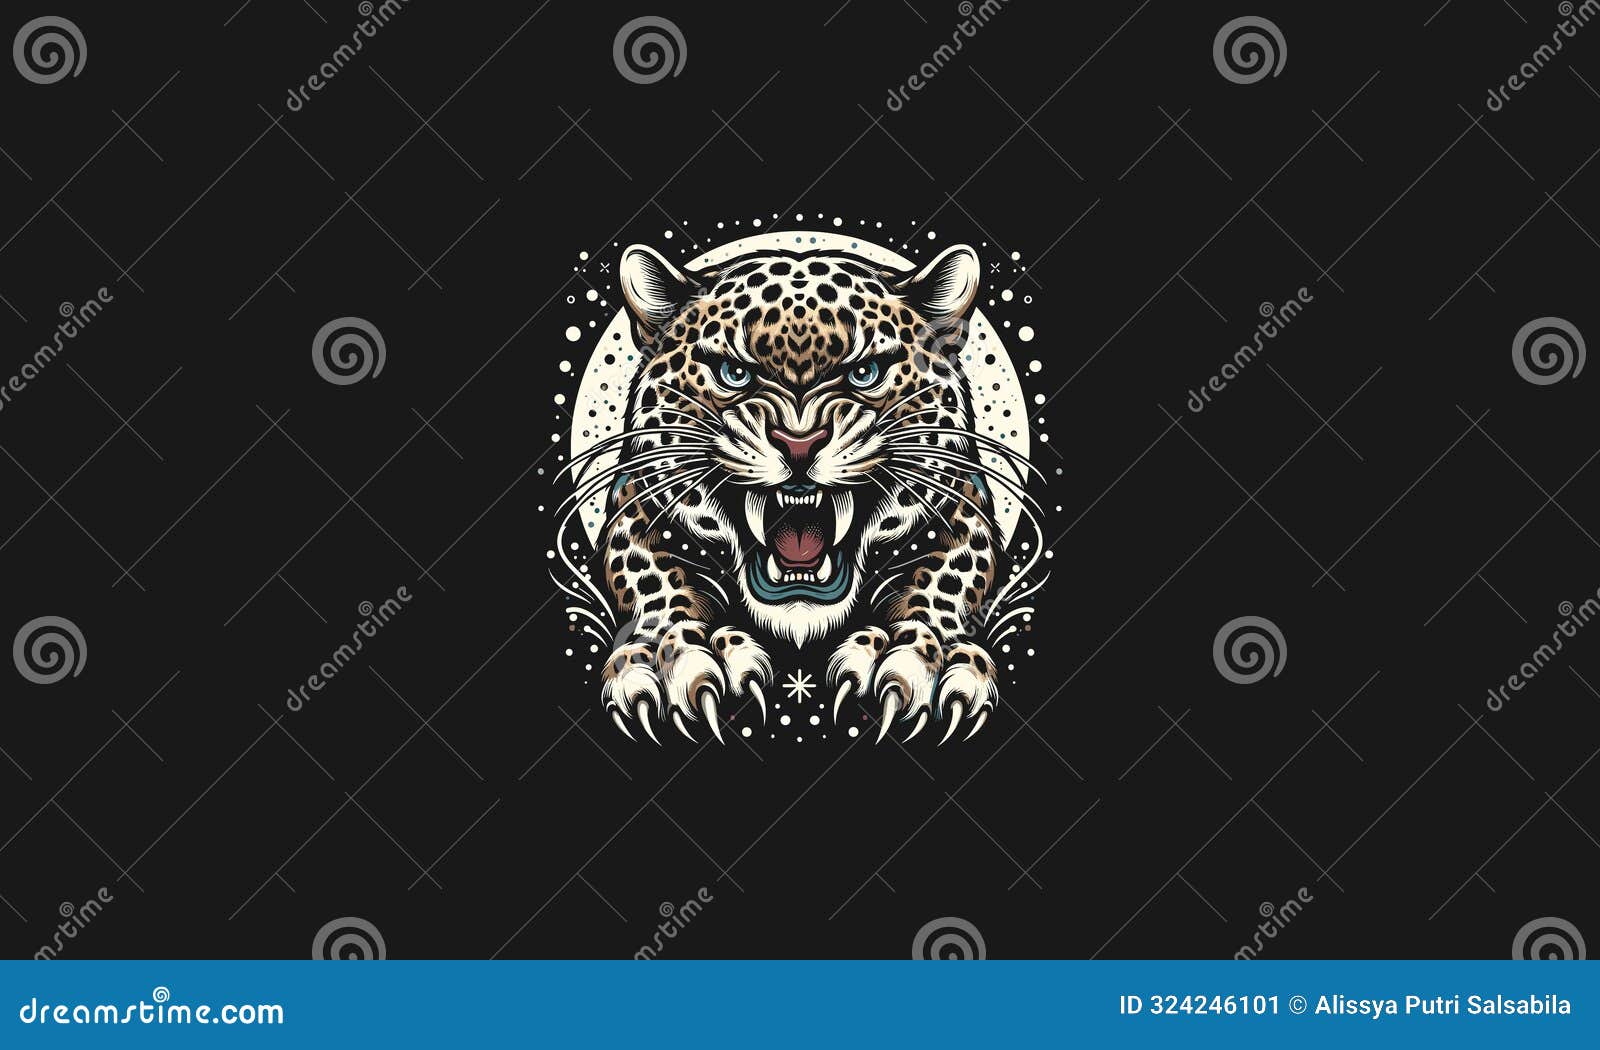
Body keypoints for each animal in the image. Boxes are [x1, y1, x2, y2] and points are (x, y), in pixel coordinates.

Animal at [578, 240, 1027, 747]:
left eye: (865, 372)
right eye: (733, 372)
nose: (799, 442)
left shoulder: (964, 511)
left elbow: (949, 577)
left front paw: (928, 652)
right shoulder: (634, 511)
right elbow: (650, 578)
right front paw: (666, 654)